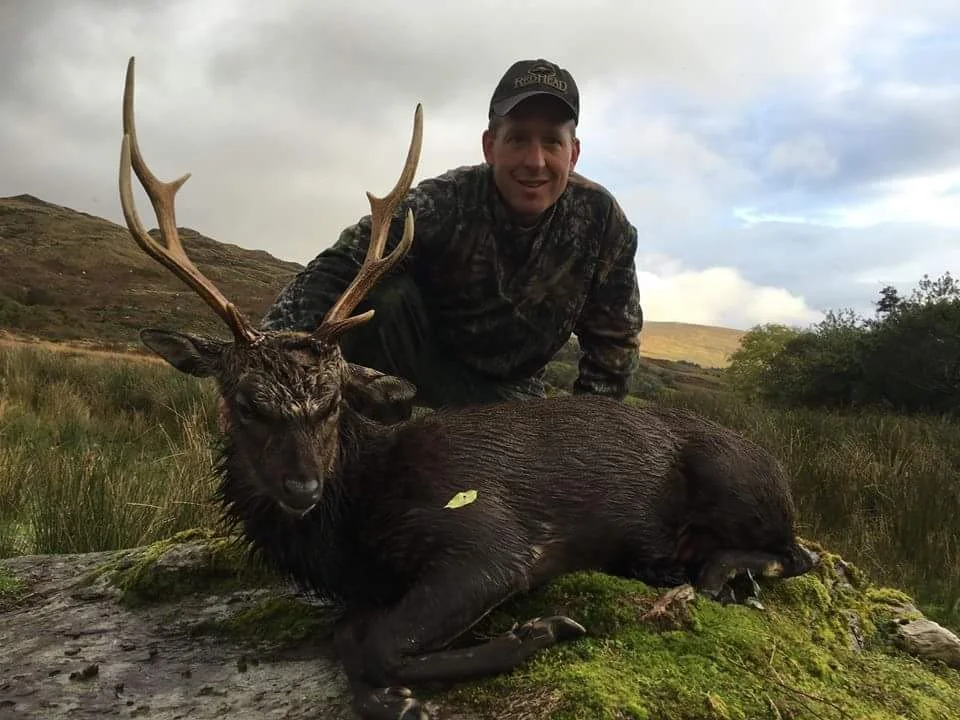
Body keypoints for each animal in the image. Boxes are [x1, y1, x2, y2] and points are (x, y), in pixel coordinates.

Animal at [116, 56, 820, 720]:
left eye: (332, 401)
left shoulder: (489, 542)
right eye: (244, 402)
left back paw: (711, 571)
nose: (302, 487)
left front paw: (531, 634)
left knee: (797, 553)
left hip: (737, 481)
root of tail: (779, 470)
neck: (354, 524)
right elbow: (351, 638)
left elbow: (376, 643)